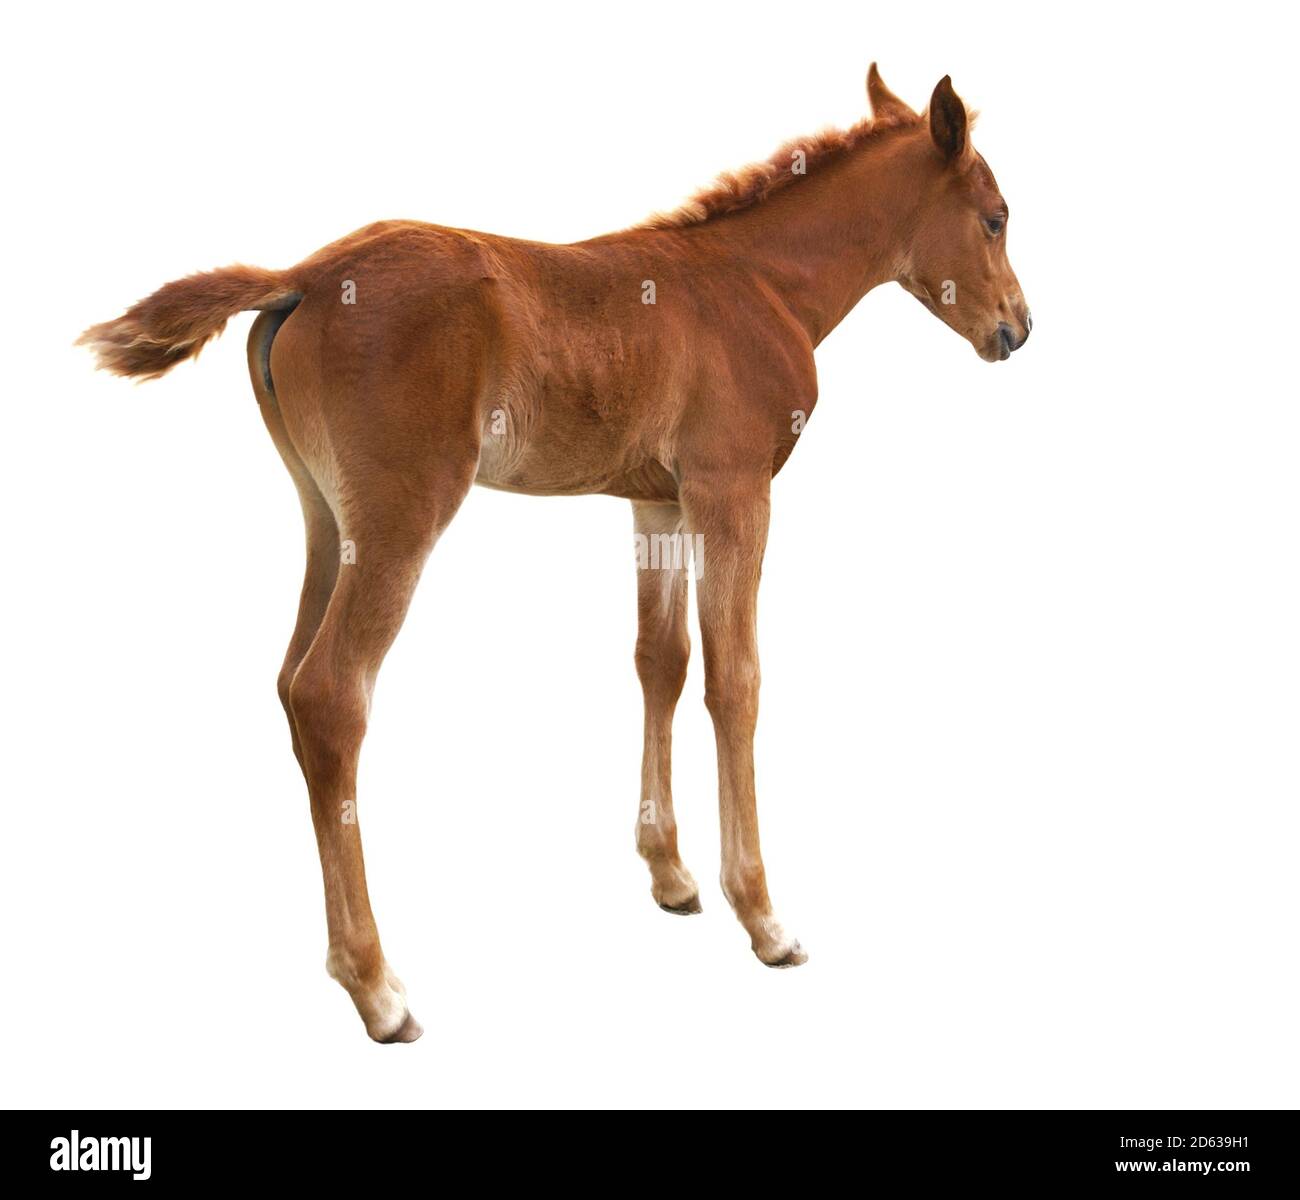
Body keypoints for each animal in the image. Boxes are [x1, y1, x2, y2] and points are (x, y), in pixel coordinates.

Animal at [79, 65, 1030, 1042]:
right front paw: (764, 918)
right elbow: (736, 681)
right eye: (996, 217)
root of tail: (303, 277)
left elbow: (662, 661)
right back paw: (378, 987)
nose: (1017, 328)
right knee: (331, 695)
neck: (758, 285)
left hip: (322, 518)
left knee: (289, 683)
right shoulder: (734, 490)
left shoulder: (658, 499)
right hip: (400, 516)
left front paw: (671, 874)